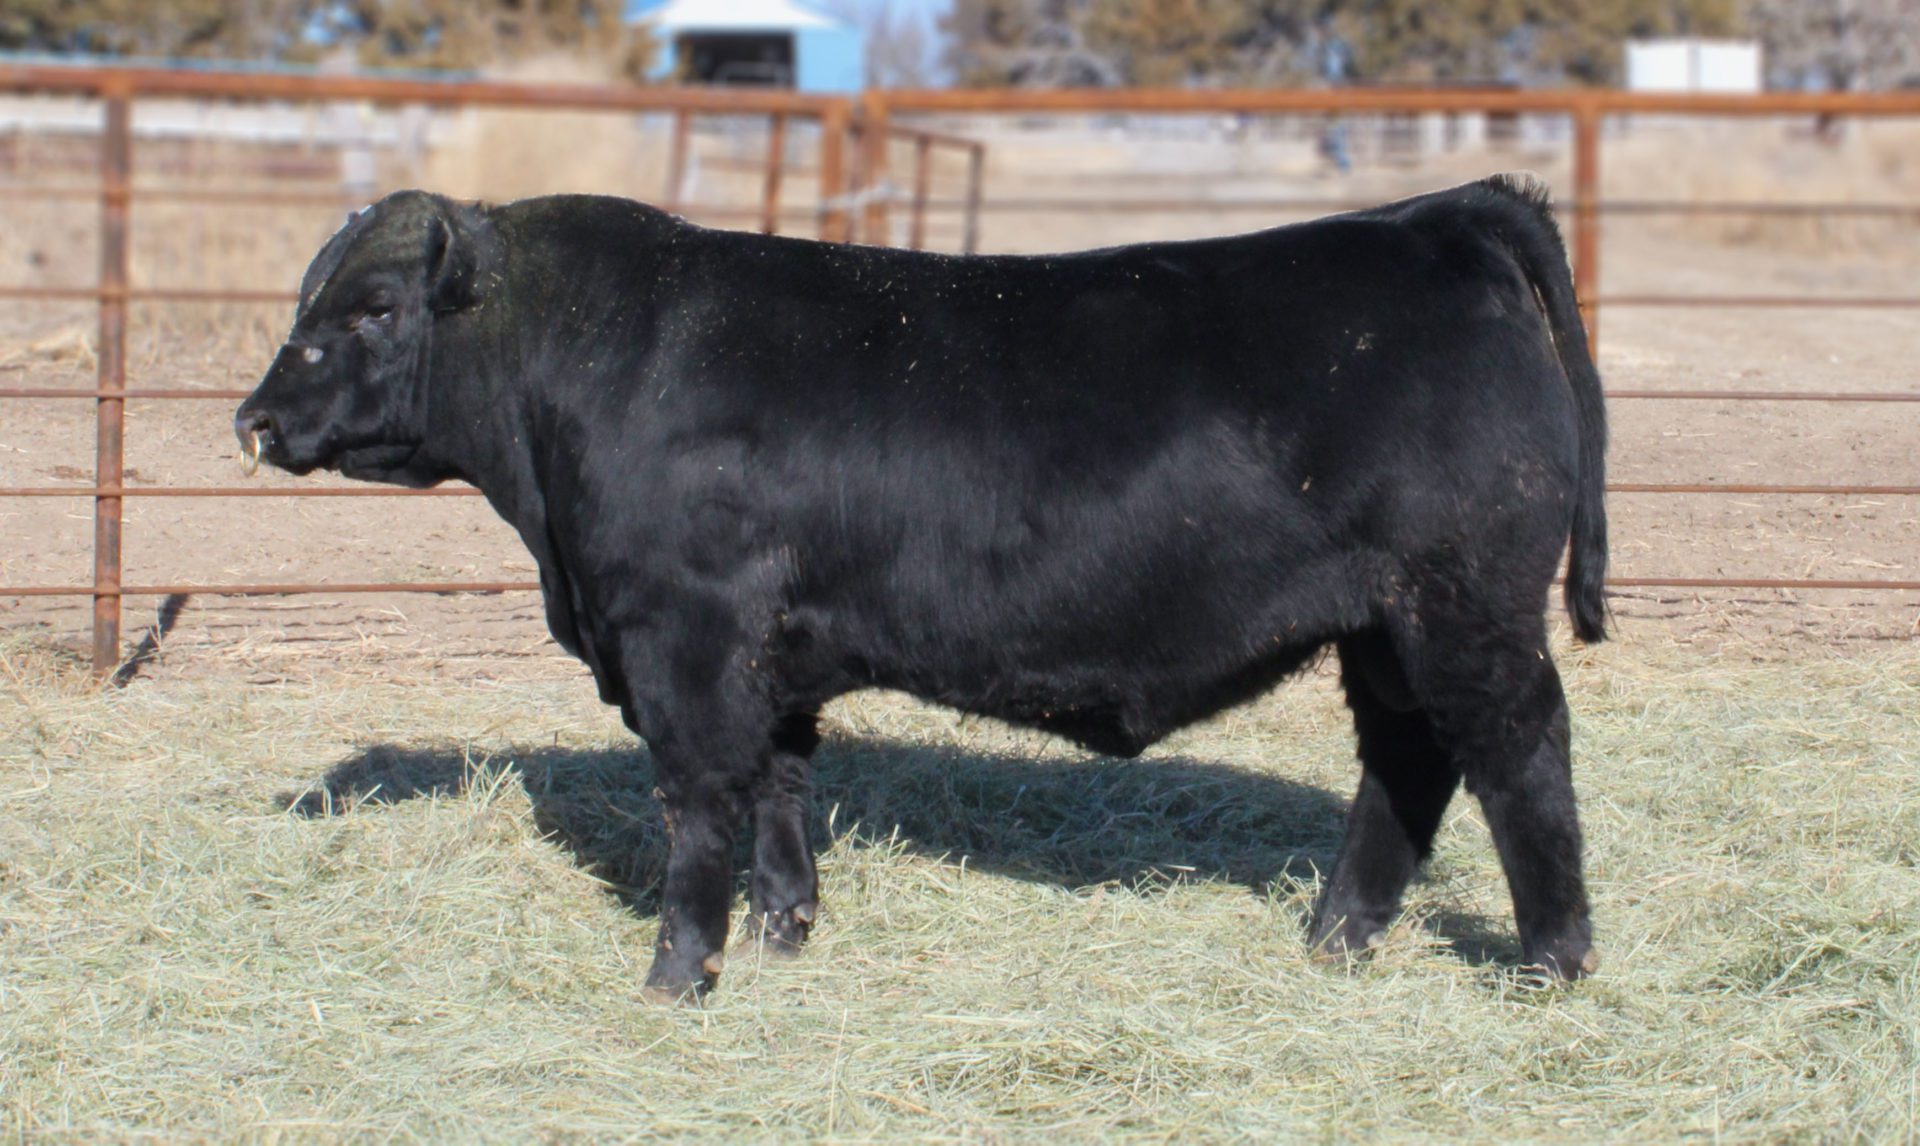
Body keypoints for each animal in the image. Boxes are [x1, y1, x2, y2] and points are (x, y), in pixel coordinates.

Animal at [236, 175, 1609, 1001]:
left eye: (373, 309)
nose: (251, 421)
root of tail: (1440, 216)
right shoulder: (771, 655)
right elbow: (780, 789)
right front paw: (786, 930)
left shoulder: (686, 639)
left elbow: (699, 805)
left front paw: (682, 973)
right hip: (1384, 628)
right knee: (1408, 766)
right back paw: (1335, 940)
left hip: (1466, 609)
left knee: (1519, 754)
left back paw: (1550, 964)